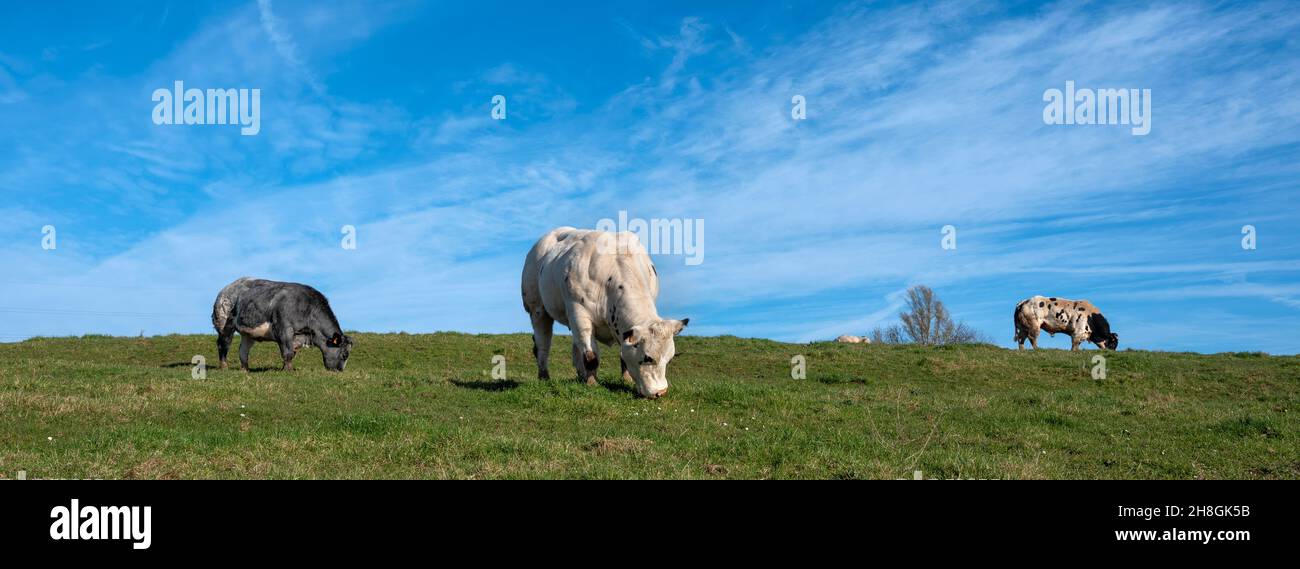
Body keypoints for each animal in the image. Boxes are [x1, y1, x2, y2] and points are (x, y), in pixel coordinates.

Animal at [212, 277, 353, 371]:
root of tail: (227, 288)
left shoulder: (297, 336)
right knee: (223, 344)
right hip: (225, 324)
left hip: (248, 333)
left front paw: (285, 368)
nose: (340, 371)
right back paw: (224, 367)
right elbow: (287, 352)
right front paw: (288, 371)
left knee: (243, 351)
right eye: (345, 354)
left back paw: (245, 370)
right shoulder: (283, 329)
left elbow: (291, 352)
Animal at [521, 227, 689, 399]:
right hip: (537, 308)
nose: (660, 392)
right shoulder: (579, 313)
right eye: (647, 358)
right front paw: (592, 383)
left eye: (669, 359)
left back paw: (580, 375)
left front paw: (626, 379)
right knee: (543, 344)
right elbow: (591, 355)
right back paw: (544, 376)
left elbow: (621, 354)